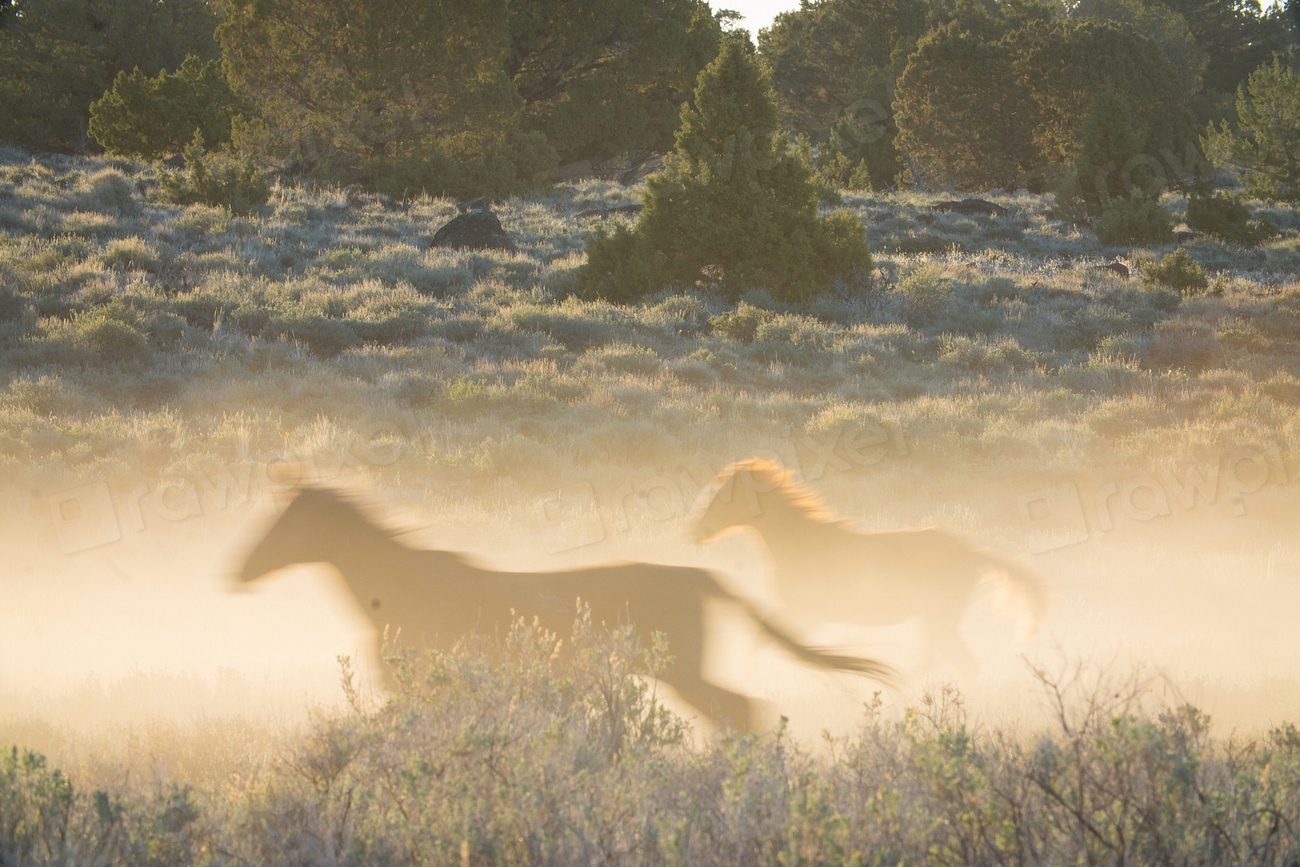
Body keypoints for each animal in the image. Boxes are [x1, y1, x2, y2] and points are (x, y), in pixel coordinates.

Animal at [236, 487, 895, 731]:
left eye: (287, 523)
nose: (238, 570)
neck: (396, 585)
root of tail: (703, 575)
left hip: (679, 669)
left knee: (739, 709)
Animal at [690, 459, 1047, 677]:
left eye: (722, 495)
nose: (695, 530)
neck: (799, 542)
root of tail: (971, 552)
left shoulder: (804, 613)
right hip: (932, 621)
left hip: (942, 620)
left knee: (965, 665)